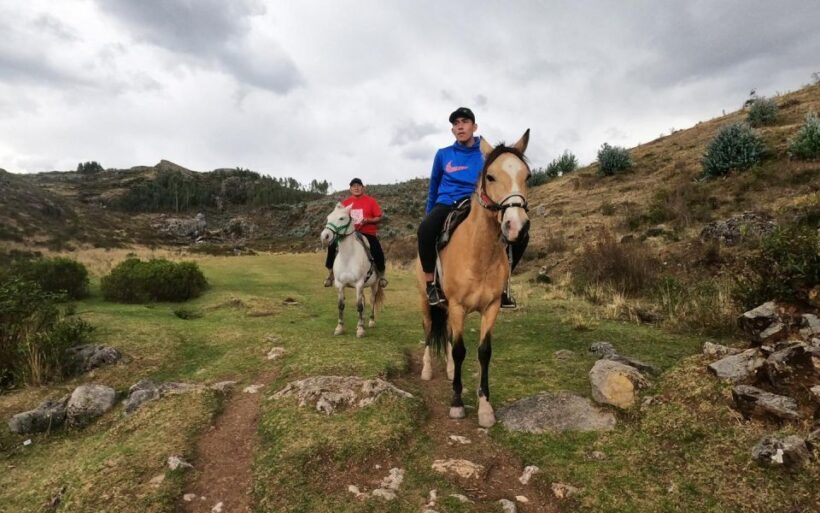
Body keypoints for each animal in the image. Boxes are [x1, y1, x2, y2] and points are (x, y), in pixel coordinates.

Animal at [320, 203, 385, 337]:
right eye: (328, 218)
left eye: (342, 218)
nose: (325, 237)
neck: (348, 257)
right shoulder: (340, 284)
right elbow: (341, 305)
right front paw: (340, 327)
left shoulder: (359, 284)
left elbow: (359, 306)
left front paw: (360, 330)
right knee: (364, 301)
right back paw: (363, 321)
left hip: (374, 285)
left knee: (372, 300)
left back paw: (371, 321)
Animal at [417, 130, 531, 428]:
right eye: (490, 176)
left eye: (528, 176)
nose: (517, 226)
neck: (479, 252)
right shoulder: (457, 307)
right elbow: (460, 351)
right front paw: (457, 403)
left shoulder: (490, 308)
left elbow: (483, 352)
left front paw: (485, 408)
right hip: (427, 302)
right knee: (428, 332)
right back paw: (427, 370)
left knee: (446, 335)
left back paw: (448, 371)